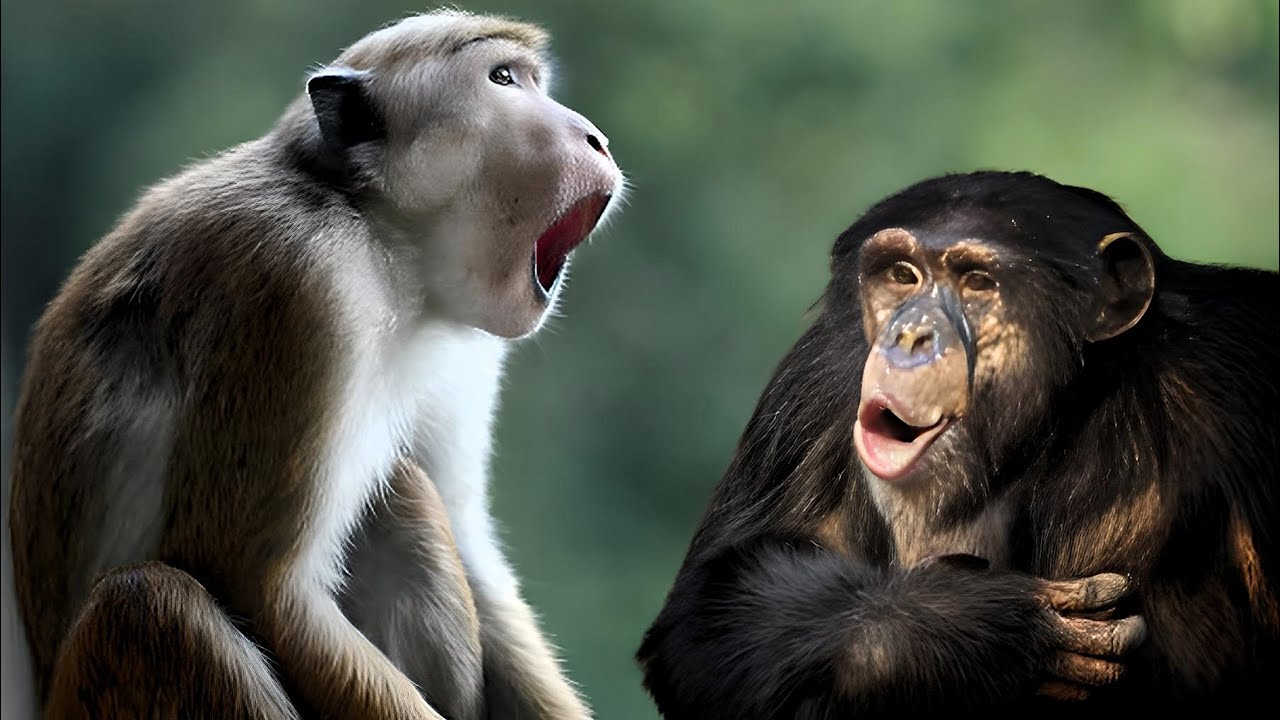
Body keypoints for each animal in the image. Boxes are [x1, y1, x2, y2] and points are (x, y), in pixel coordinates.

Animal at [8, 10, 623, 719]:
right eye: (502, 79)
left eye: (530, 80)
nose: (597, 138)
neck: (386, 244)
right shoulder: (300, 282)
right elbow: (270, 591)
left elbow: (474, 552)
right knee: (150, 605)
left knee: (402, 494)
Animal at [636, 171, 1278, 718]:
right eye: (901, 275)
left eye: (977, 284)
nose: (910, 335)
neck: (1065, 411)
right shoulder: (817, 380)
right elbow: (711, 608)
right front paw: (963, 629)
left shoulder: (1236, 369)